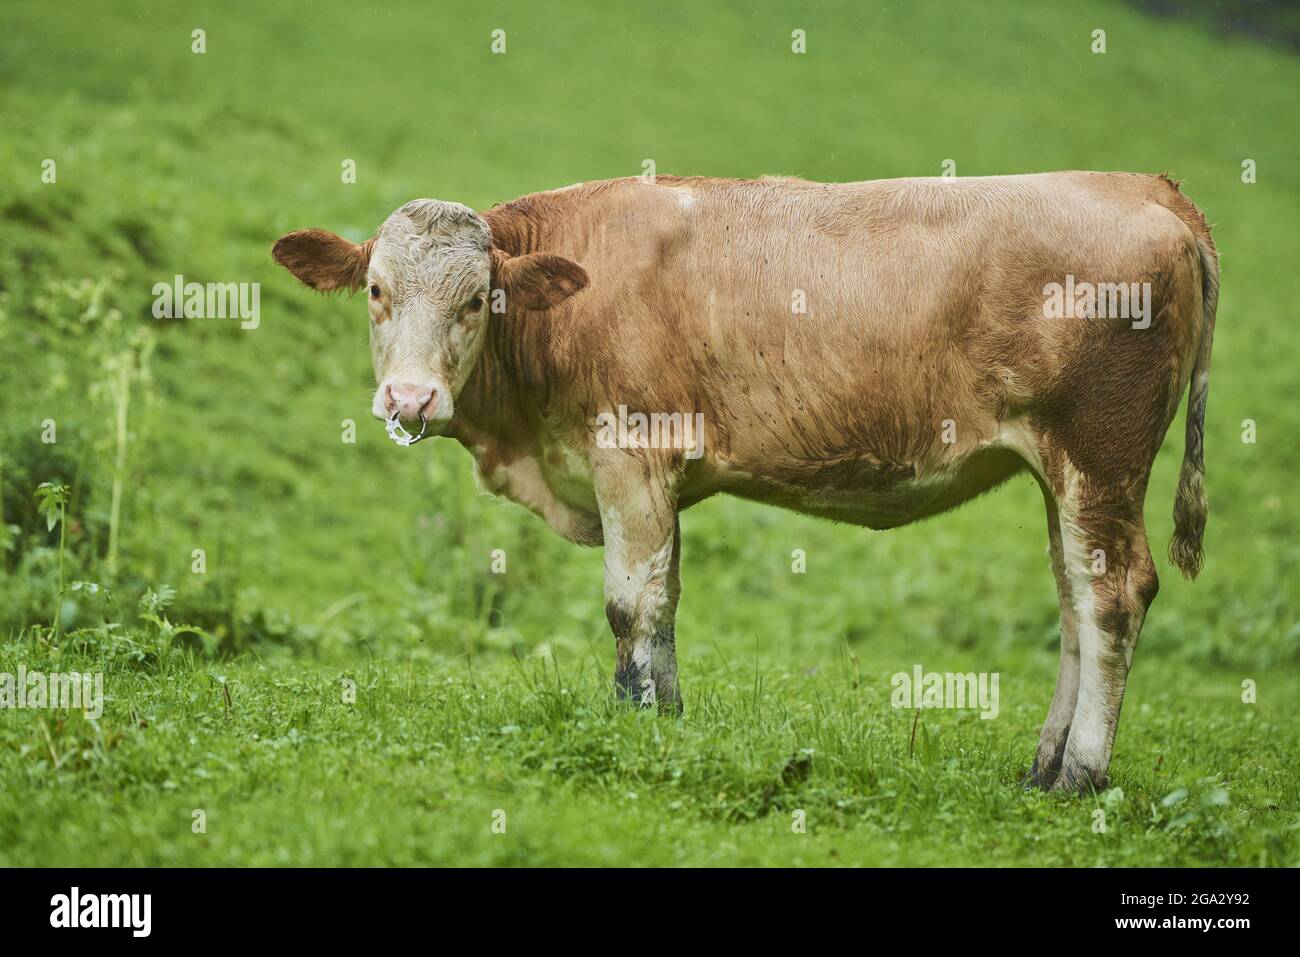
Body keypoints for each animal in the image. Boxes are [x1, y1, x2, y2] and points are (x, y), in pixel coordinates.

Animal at [272, 171, 1218, 793]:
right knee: (1075, 601)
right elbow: (665, 600)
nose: (410, 398)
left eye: (477, 299)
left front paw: (631, 724)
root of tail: (1145, 185)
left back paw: (1082, 773)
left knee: (1112, 598)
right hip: (1063, 475)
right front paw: (669, 717)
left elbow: (630, 604)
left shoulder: (629, 454)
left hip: (1098, 456)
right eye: (375, 289)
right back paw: (1042, 765)